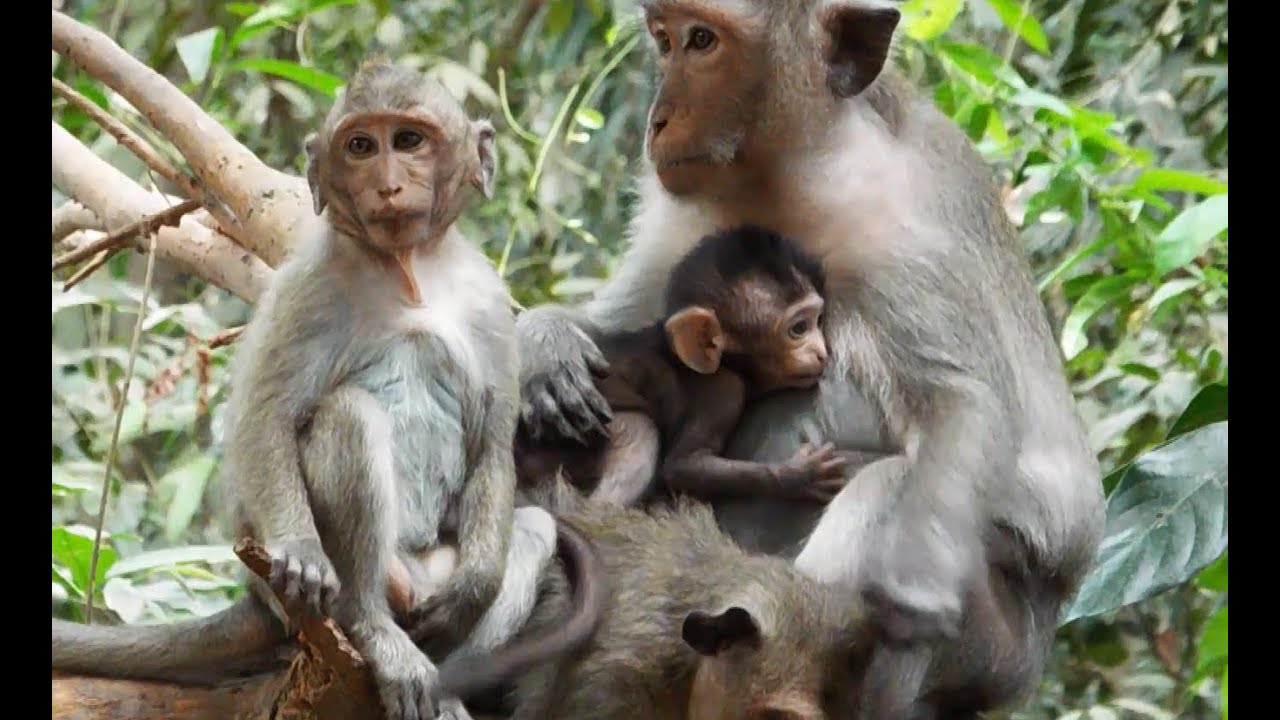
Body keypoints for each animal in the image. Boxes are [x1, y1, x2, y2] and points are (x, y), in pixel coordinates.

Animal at [51, 57, 604, 720]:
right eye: (360, 147)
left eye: (409, 140)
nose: (387, 184)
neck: (409, 269)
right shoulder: (309, 285)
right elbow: (263, 421)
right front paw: (302, 549)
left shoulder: (487, 299)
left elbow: (492, 443)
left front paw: (474, 589)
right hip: (333, 583)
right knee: (350, 419)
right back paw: (373, 633)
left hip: (431, 577)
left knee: (532, 530)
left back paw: (445, 681)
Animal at [516, 224, 865, 509]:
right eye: (799, 328)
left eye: (819, 320)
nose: (822, 351)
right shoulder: (723, 391)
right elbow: (684, 466)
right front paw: (796, 477)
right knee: (641, 431)